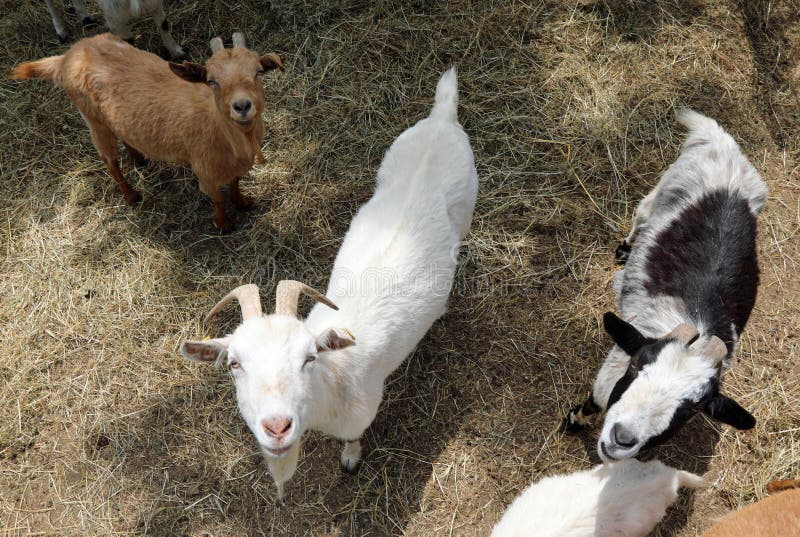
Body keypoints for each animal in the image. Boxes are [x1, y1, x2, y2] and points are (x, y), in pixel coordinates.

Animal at [12, 33, 284, 232]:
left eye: (258, 72)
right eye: (211, 81)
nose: (242, 106)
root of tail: (67, 56)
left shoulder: (234, 165)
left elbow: (236, 182)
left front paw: (243, 202)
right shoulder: (205, 170)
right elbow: (217, 198)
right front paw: (224, 224)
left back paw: (139, 158)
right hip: (93, 119)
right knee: (109, 161)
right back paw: (131, 195)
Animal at [43, 0, 184, 60]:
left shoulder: (155, 5)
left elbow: (164, 25)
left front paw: (177, 53)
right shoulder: (115, 20)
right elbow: (127, 43)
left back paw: (86, 19)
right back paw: (61, 31)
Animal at [179, 68, 478, 501]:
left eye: (309, 357)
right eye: (234, 363)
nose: (277, 427)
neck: (334, 381)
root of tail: (442, 117)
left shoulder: (361, 413)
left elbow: (353, 440)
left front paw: (351, 459)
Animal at [565, 109, 767, 462]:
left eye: (691, 408)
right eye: (636, 365)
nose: (622, 438)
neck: (699, 325)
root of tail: (725, 145)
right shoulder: (611, 371)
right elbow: (594, 400)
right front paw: (575, 420)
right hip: (659, 193)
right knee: (641, 216)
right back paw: (625, 249)